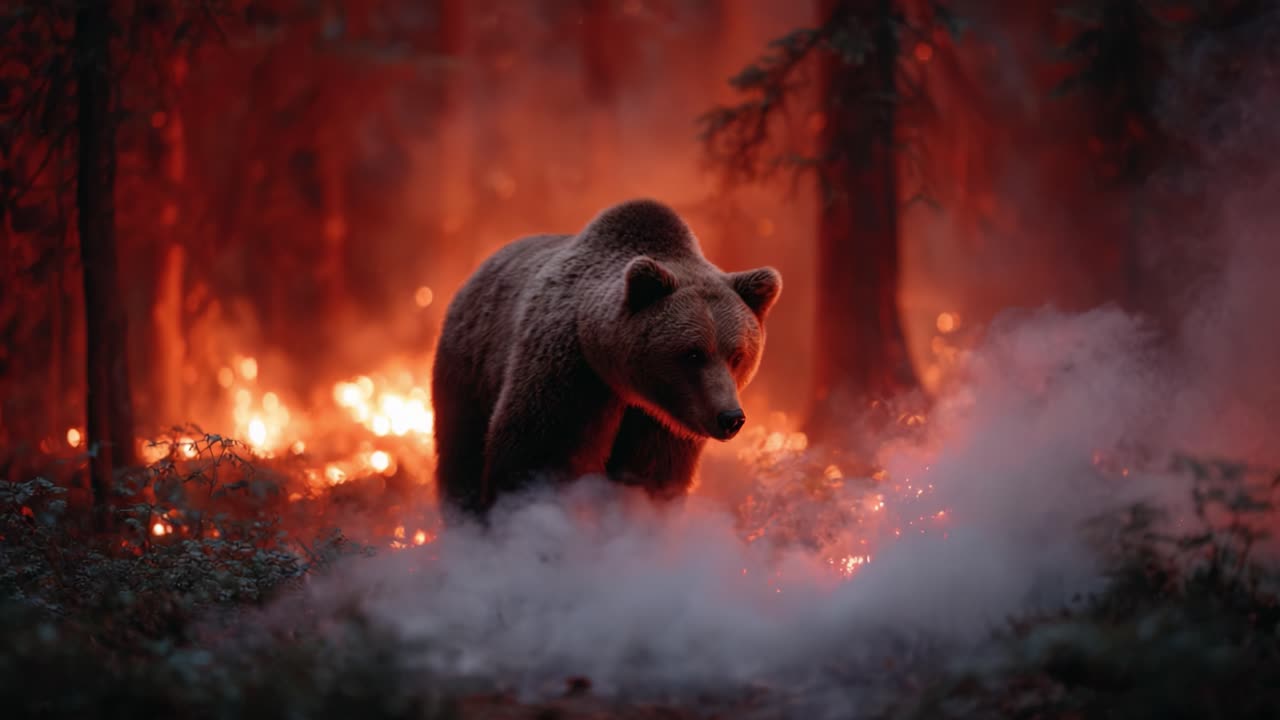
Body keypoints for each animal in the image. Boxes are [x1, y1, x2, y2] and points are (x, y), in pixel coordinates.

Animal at [430, 198, 782, 519]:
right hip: (469, 368)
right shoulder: (570, 378)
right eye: (693, 352)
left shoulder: (664, 423)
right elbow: (535, 455)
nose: (730, 417)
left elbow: (653, 479)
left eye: (737, 355)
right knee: (461, 452)